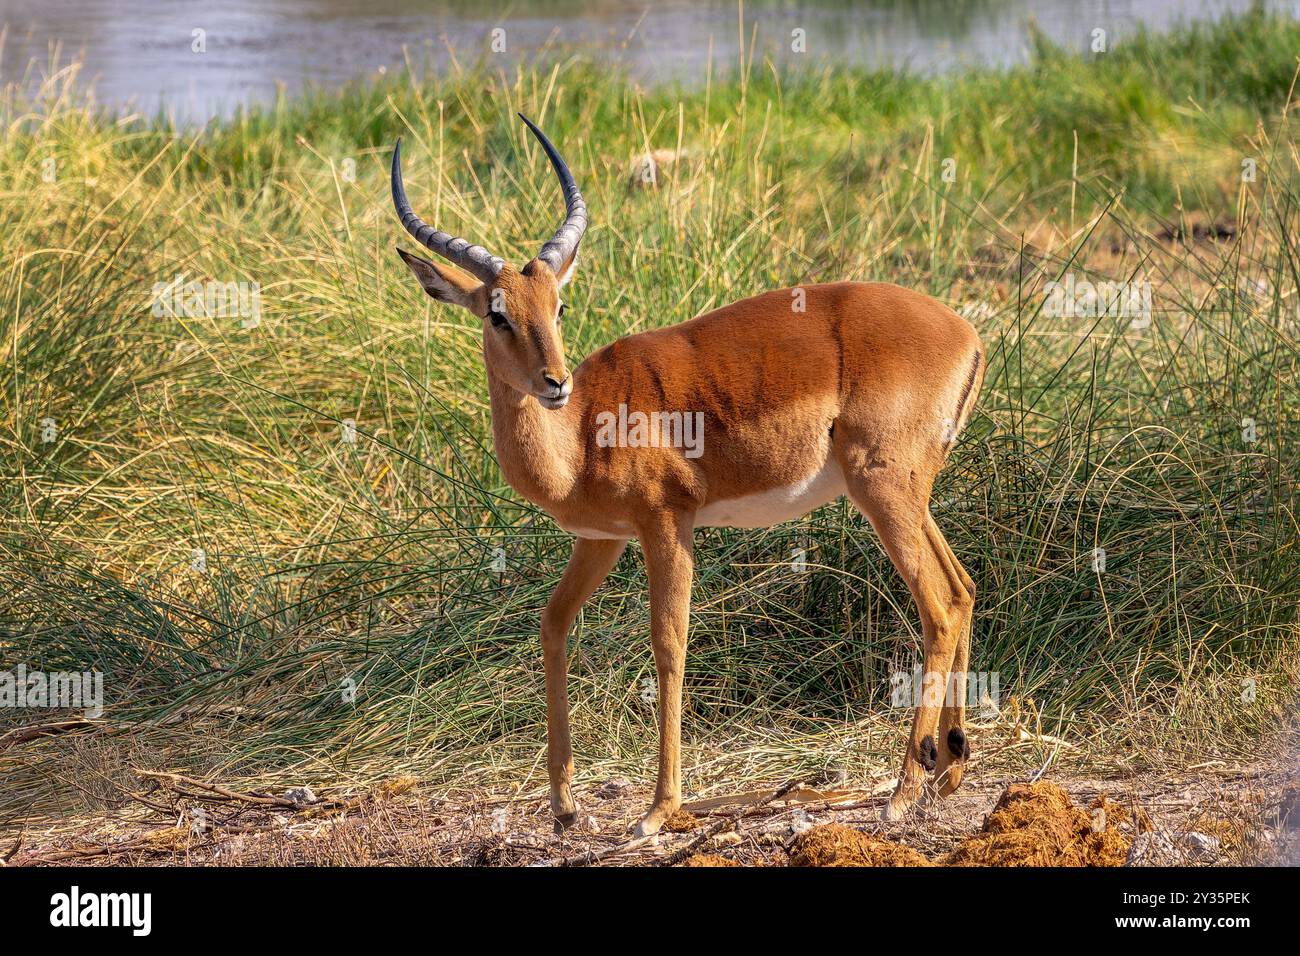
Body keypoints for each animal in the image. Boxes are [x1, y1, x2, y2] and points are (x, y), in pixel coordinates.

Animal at [391, 115, 985, 836]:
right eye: (497, 312)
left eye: (559, 307)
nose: (555, 383)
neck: (582, 434)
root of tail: (968, 334)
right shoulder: (600, 538)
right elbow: (553, 625)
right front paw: (563, 804)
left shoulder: (666, 522)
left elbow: (668, 644)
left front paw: (659, 807)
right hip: (909, 497)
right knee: (963, 589)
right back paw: (949, 771)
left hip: (884, 490)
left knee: (938, 604)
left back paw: (902, 791)